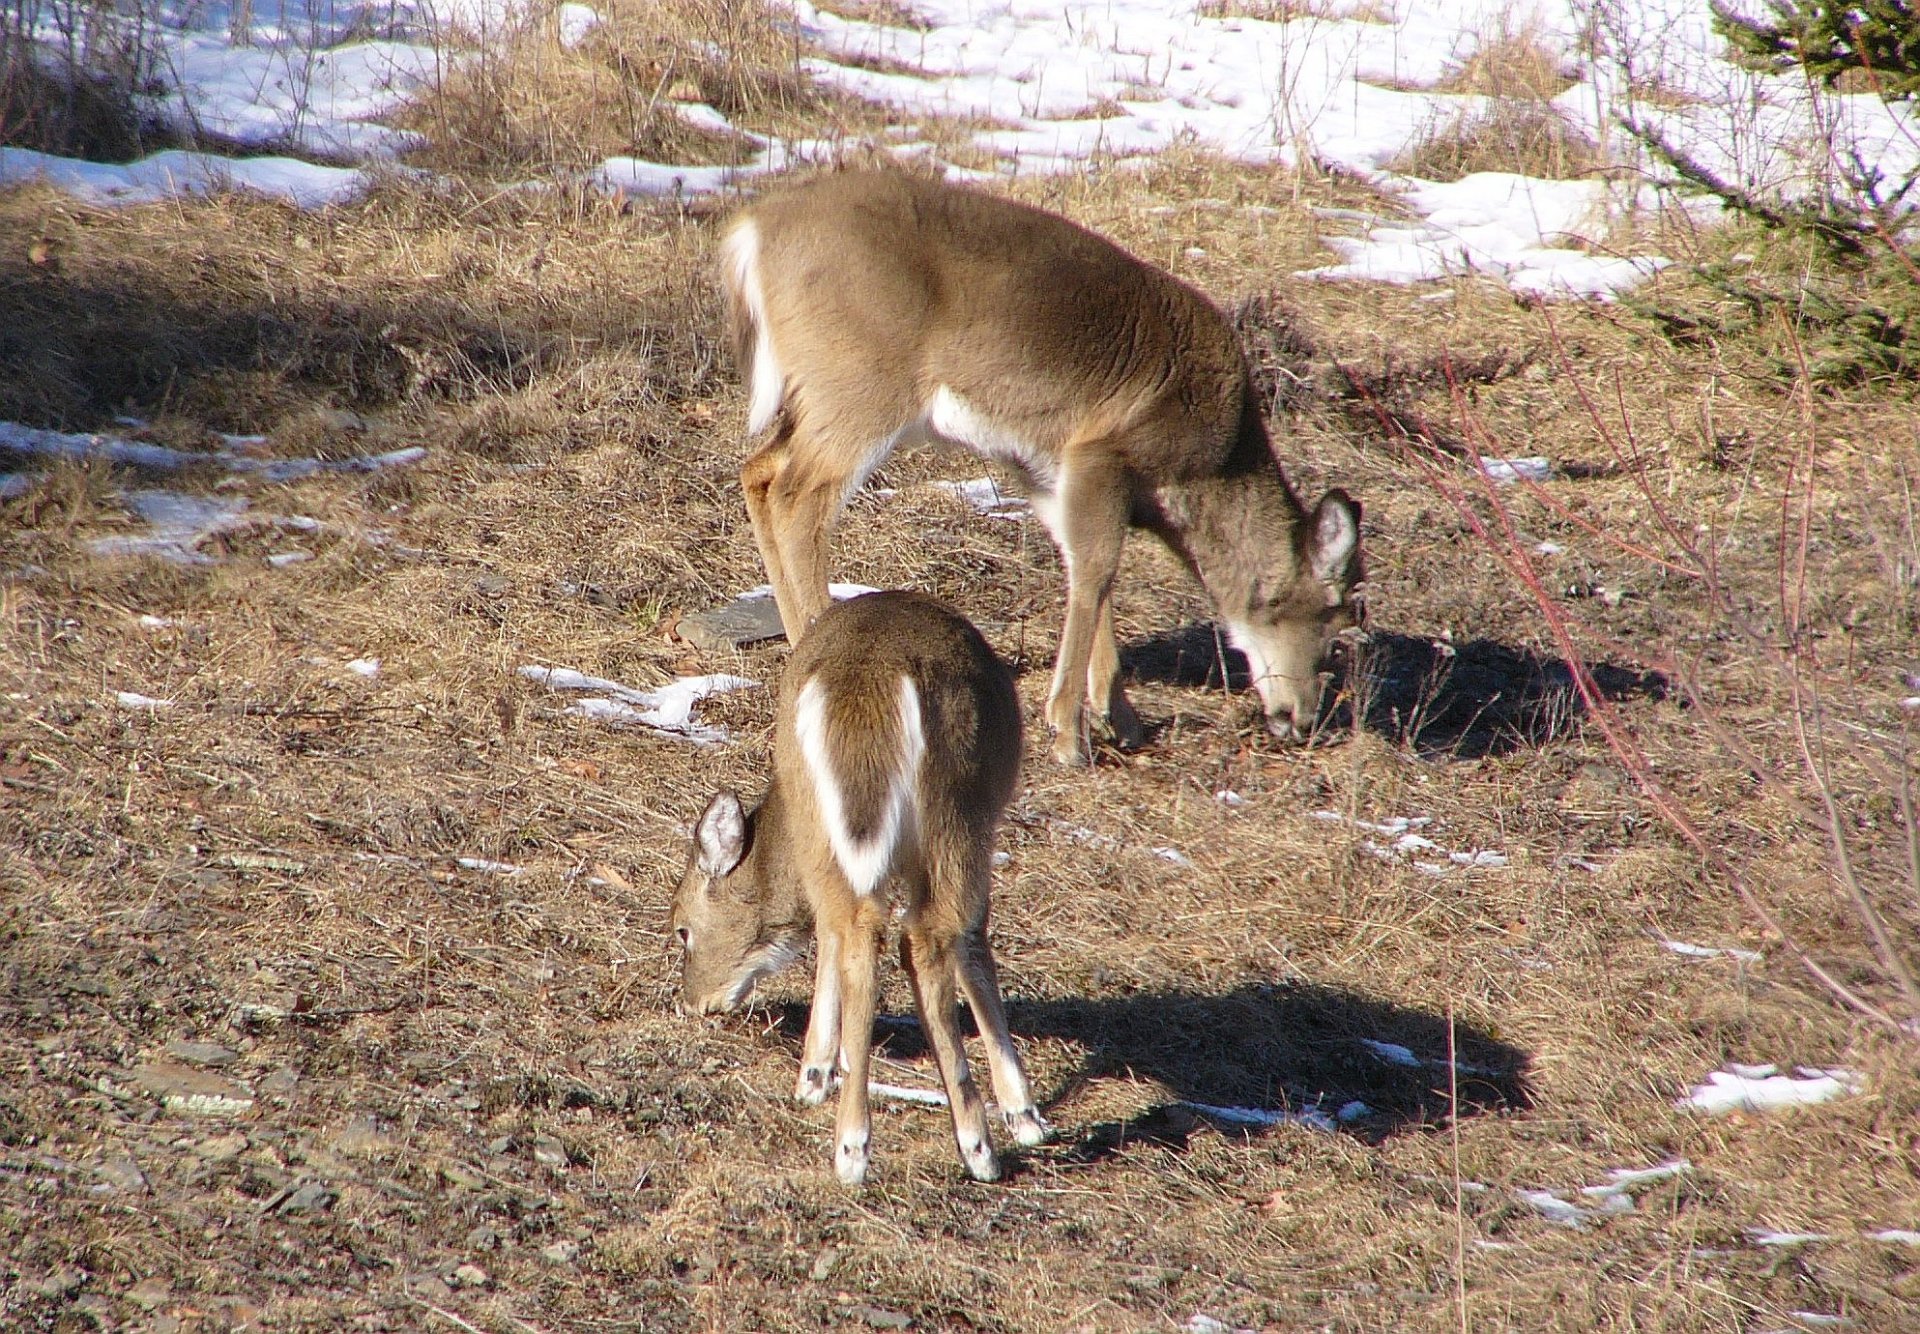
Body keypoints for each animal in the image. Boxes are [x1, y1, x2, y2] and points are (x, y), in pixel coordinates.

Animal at [671, 589, 1049, 1186]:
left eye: (682, 929)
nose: (691, 1004)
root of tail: (868, 681)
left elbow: (830, 938)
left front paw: (814, 1072)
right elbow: (974, 945)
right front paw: (1024, 1113)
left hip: (831, 817)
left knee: (859, 934)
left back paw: (855, 1140)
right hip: (956, 812)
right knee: (926, 938)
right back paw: (969, 1146)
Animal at [719, 168, 1364, 767]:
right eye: (1330, 623)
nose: (1301, 718)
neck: (1210, 469)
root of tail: (751, 232)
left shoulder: (1048, 470)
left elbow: (1086, 567)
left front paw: (1120, 718)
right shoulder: (1101, 451)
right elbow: (1098, 567)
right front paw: (1069, 734)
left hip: (818, 398)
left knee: (760, 471)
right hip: (861, 388)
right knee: (799, 498)